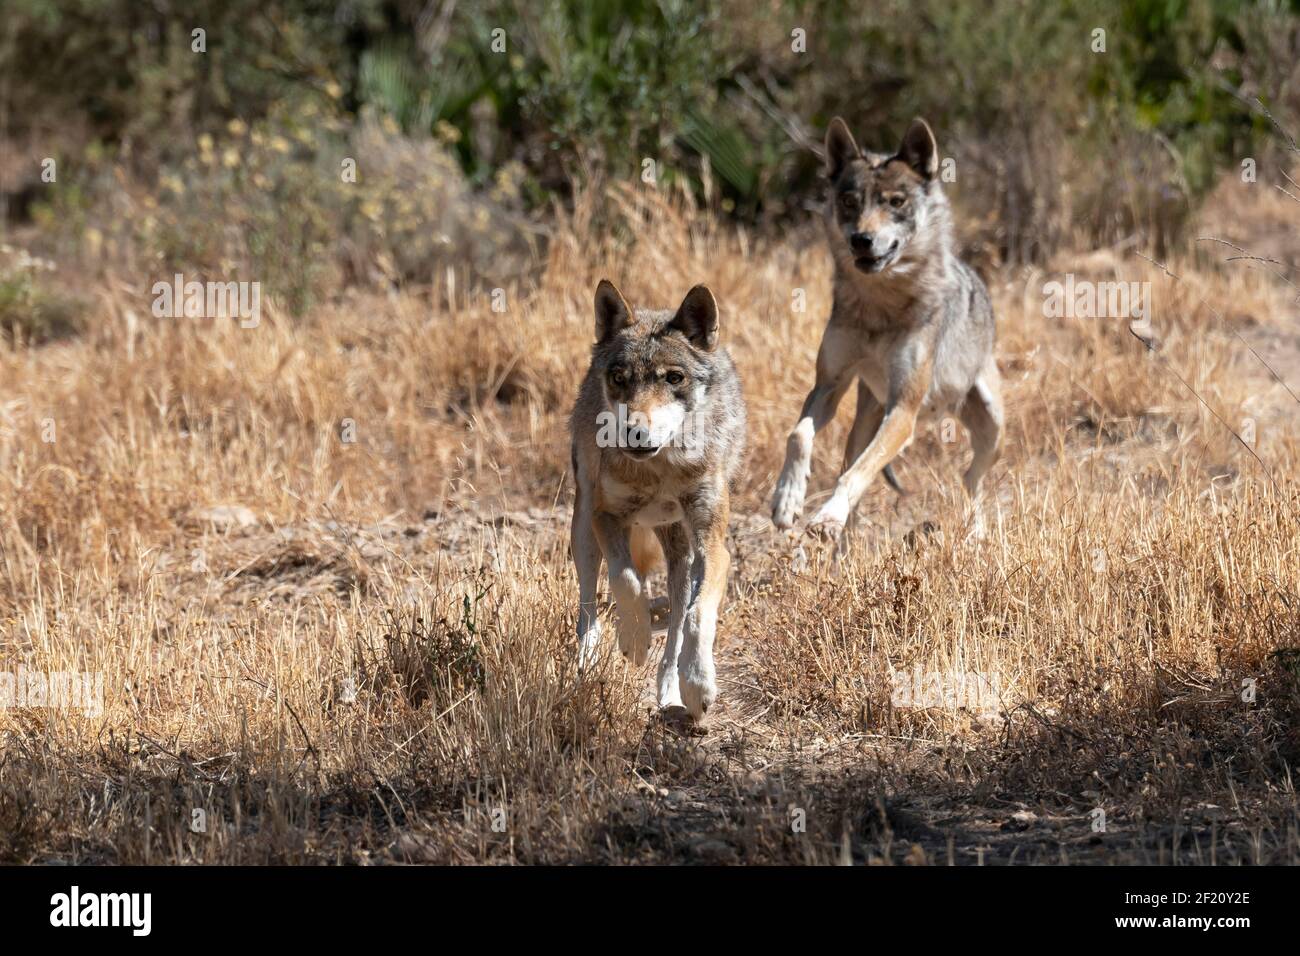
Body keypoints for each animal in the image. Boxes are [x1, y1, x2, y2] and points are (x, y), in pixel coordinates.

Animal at [570, 280, 746, 720]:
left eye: (674, 377)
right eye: (619, 378)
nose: (634, 431)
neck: (661, 468)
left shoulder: (712, 545)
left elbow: (699, 615)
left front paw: (698, 684)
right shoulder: (605, 515)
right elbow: (626, 580)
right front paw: (634, 641)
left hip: (682, 555)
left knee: (678, 626)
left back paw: (670, 695)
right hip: (582, 529)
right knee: (587, 607)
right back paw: (587, 662)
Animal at [771, 116, 1003, 538]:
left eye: (895, 202)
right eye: (850, 202)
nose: (861, 240)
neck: (880, 305)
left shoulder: (904, 409)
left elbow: (854, 475)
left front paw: (824, 516)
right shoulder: (829, 384)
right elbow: (798, 435)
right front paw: (787, 500)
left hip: (992, 425)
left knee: (969, 479)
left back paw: (976, 533)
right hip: (864, 422)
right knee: (855, 477)